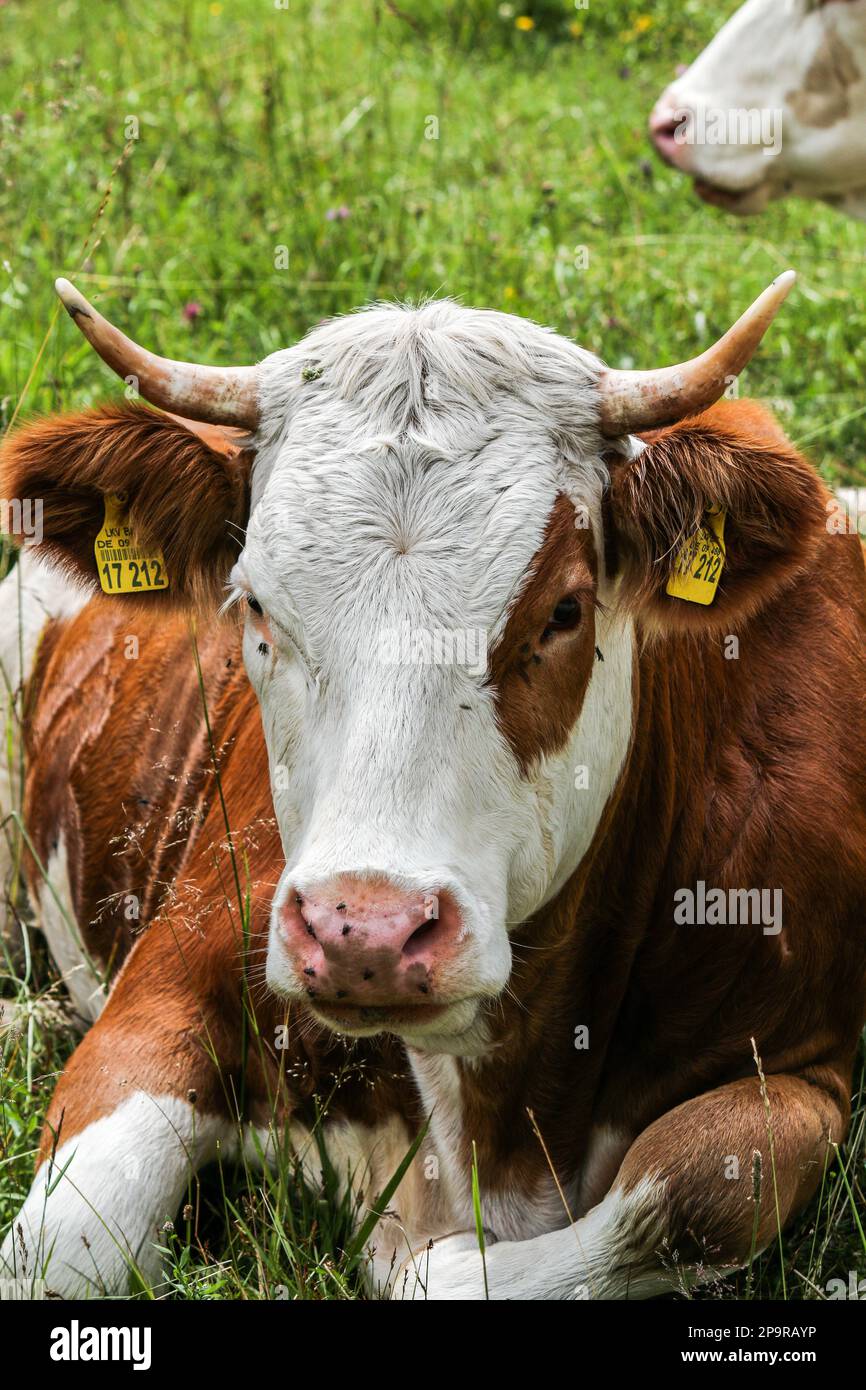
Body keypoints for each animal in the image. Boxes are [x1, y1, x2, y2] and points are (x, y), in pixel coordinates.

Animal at [1, 270, 865, 1300]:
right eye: (255, 604)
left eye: (564, 610)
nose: (364, 935)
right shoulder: (169, 983)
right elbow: (62, 1251)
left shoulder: (808, 1059)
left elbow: (708, 1185)